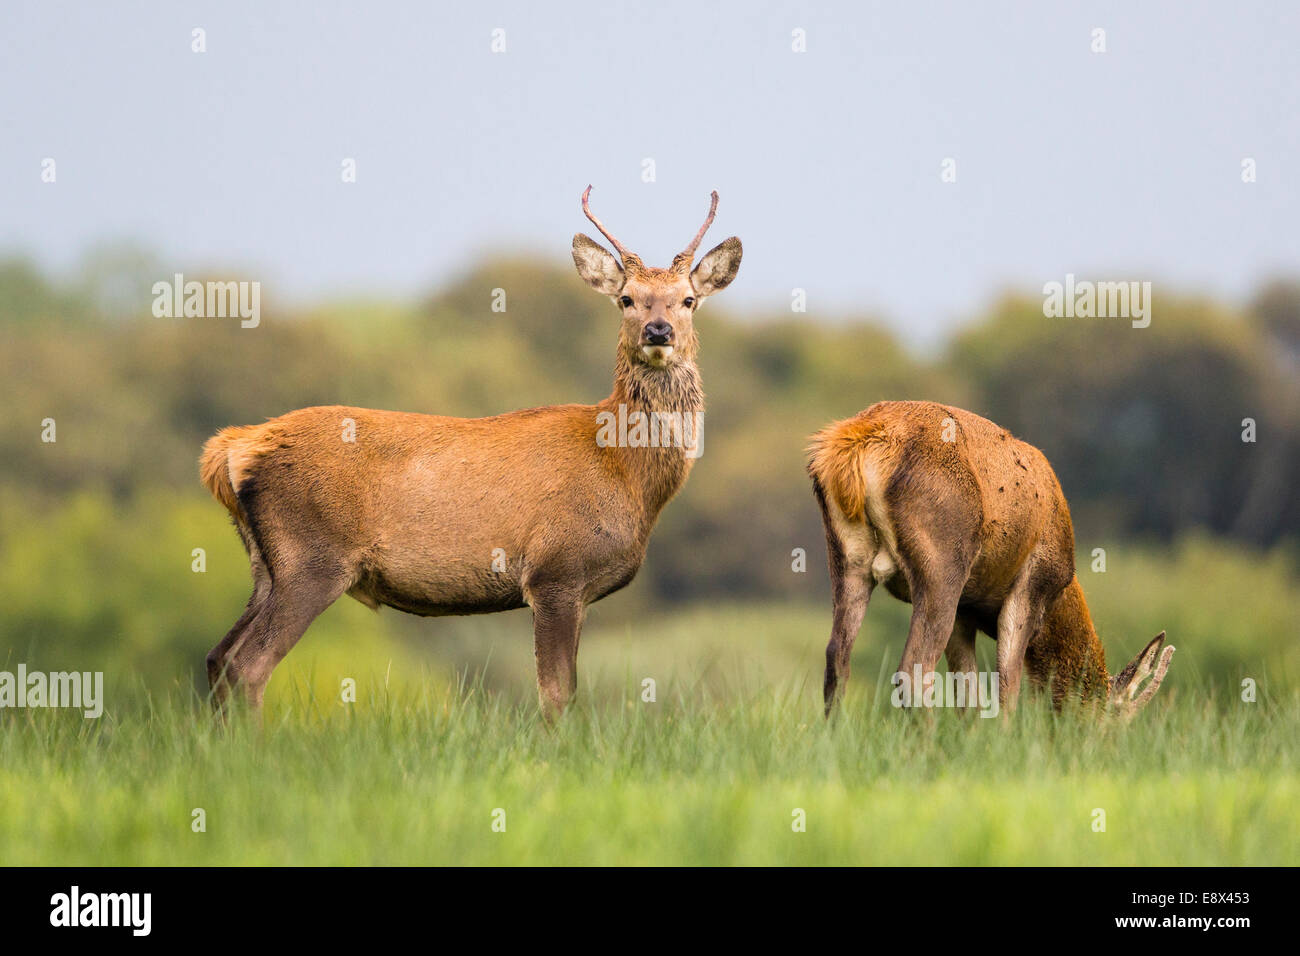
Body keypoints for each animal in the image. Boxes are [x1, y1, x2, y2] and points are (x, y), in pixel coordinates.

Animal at [199, 187, 742, 718]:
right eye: (627, 299)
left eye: (688, 300)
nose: (658, 331)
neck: (626, 476)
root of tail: (231, 448)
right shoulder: (554, 571)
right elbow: (556, 695)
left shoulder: (578, 588)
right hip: (312, 556)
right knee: (248, 664)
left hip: (265, 564)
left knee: (218, 656)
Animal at [807, 401, 1174, 719]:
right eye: (1112, 724)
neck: (1059, 597)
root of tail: (857, 442)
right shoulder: (1030, 588)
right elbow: (1006, 690)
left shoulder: (964, 613)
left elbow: (969, 699)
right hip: (943, 563)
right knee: (913, 669)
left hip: (846, 559)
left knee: (836, 658)